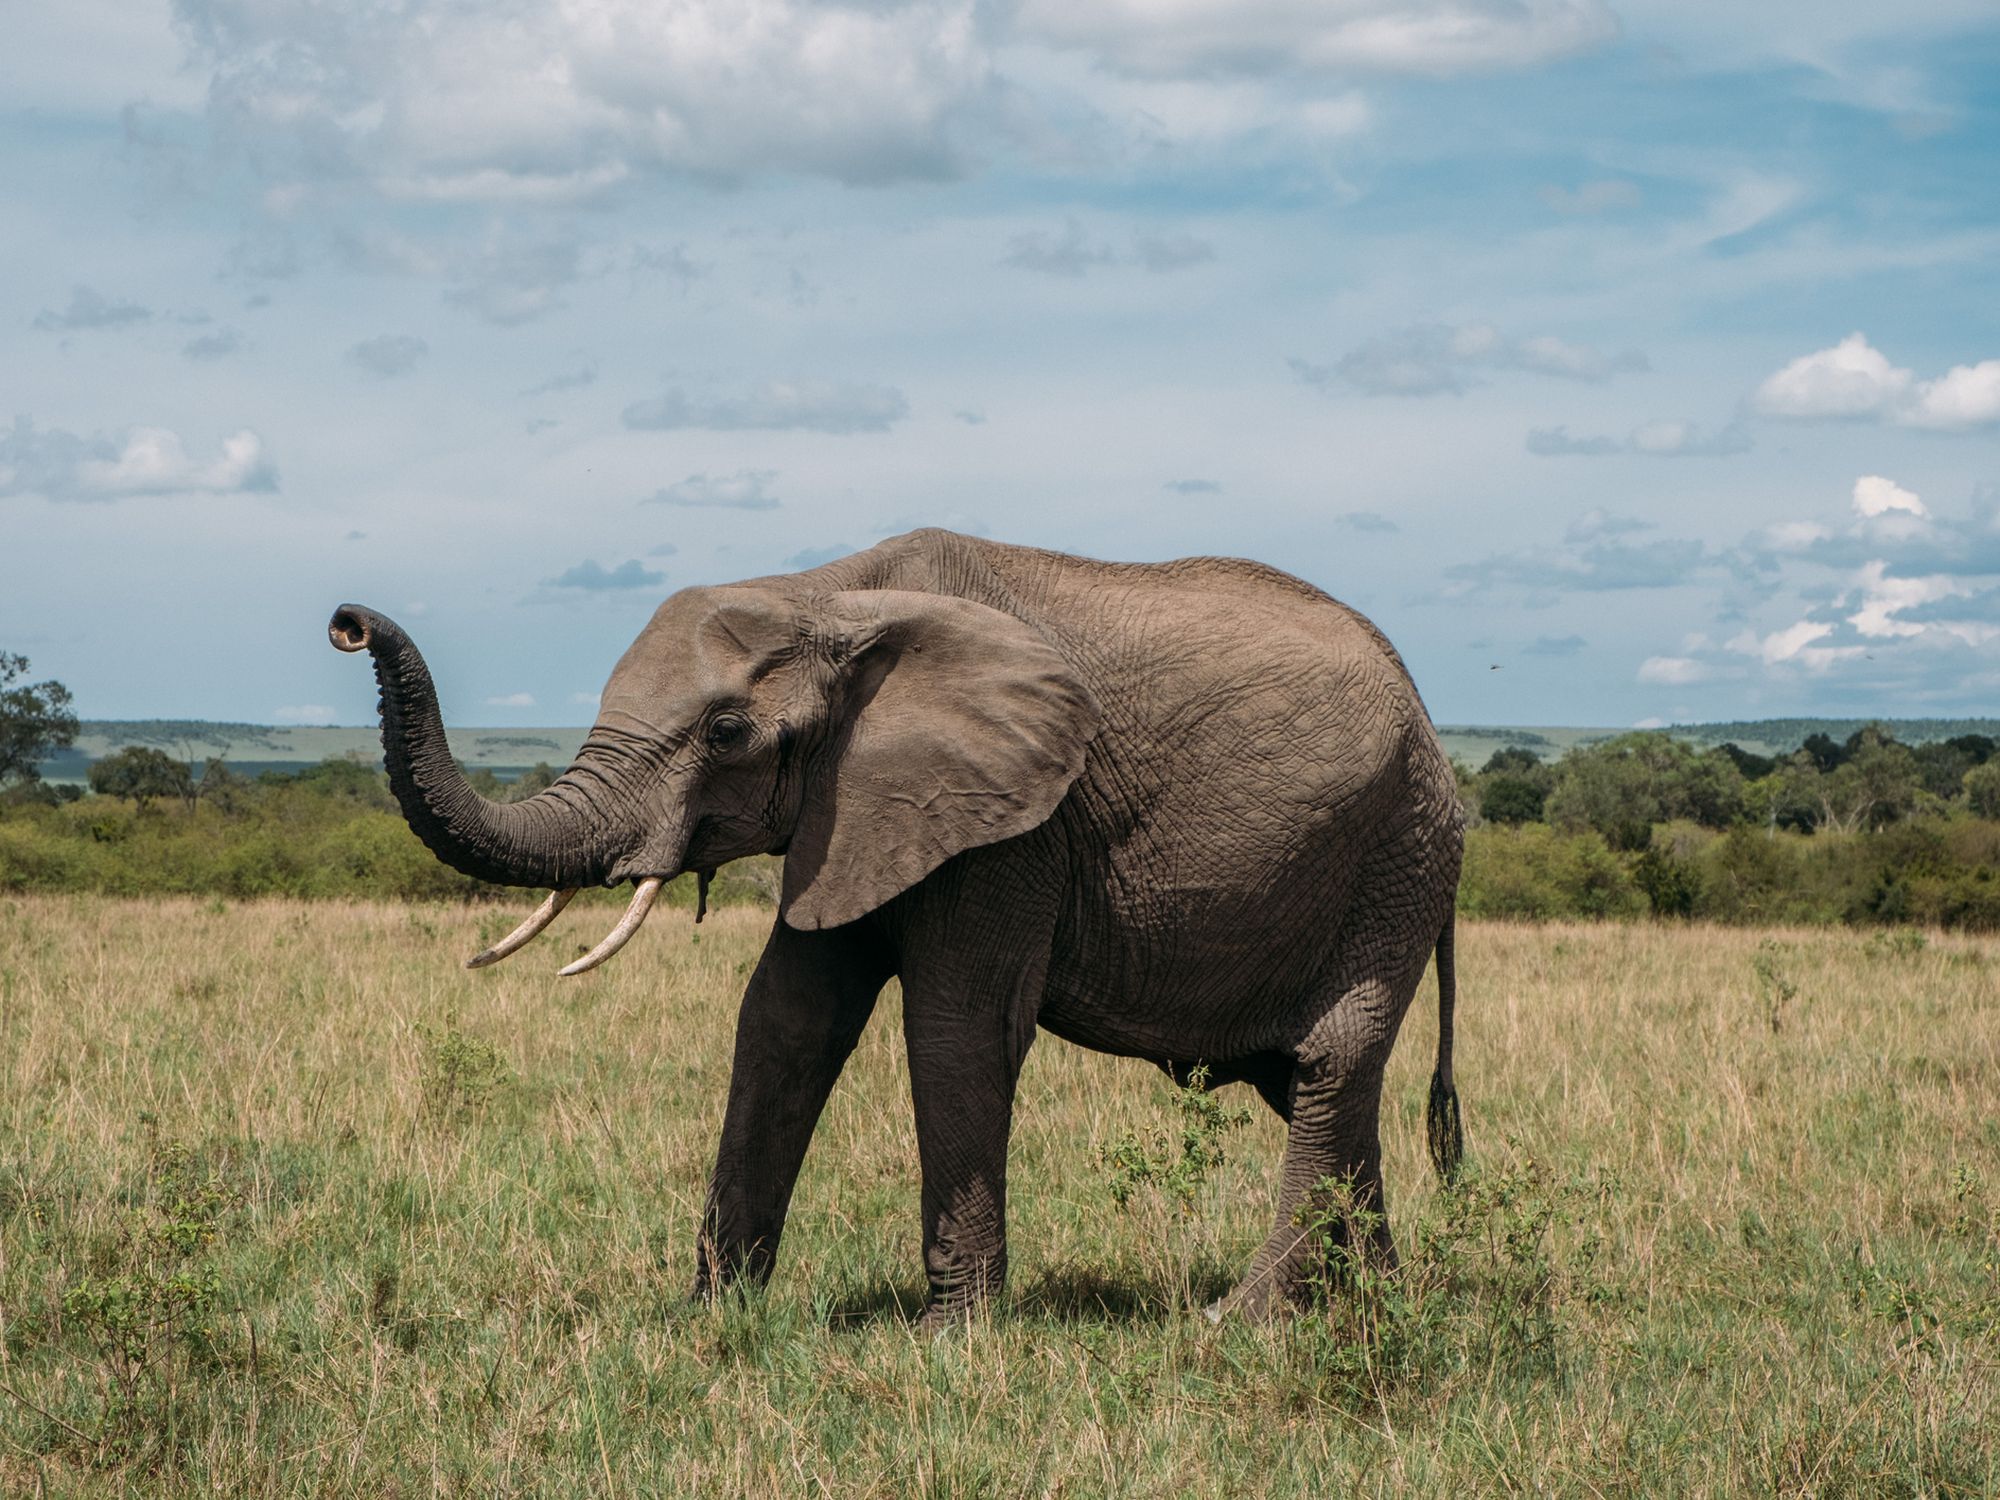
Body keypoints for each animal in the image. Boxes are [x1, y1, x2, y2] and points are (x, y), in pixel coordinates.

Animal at [329, 526, 1464, 1322]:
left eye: (727, 731)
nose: (346, 620)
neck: (829, 591)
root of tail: (1425, 715)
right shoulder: (858, 804)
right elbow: (785, 1018)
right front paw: (708, 1321)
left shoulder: (1019, 822)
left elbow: (956, 1028)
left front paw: (951, 1340)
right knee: (1316, 1086)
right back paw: (1375, 1308)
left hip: (1395, 854)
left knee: (1328, 1062)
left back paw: (1247, 1322)